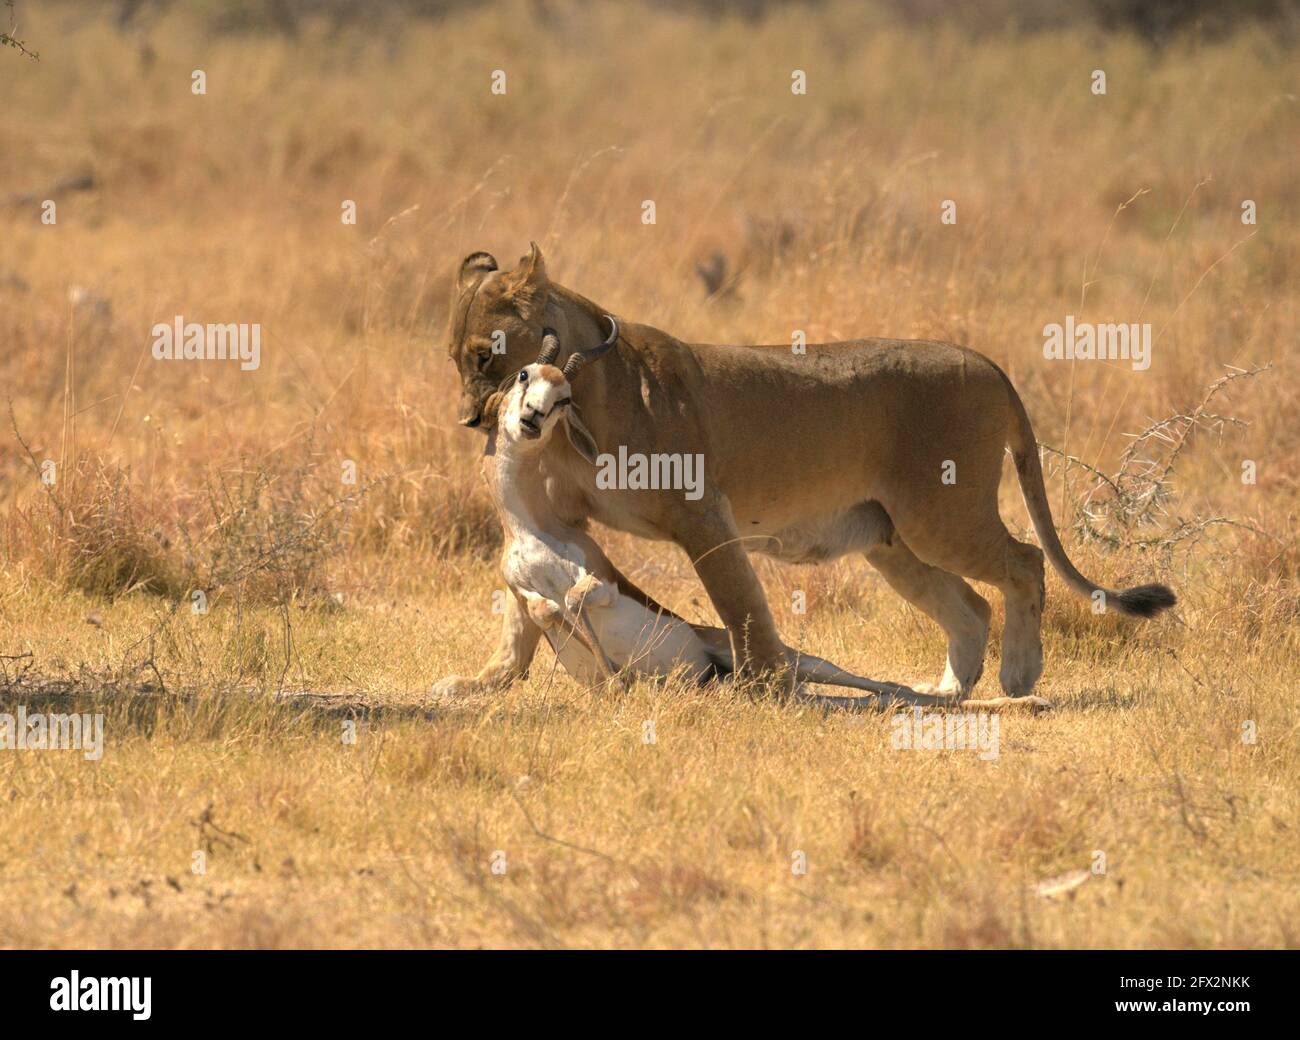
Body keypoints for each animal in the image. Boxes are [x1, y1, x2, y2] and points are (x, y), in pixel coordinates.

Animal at [433, 243, 1174, 701]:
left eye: (485, 358)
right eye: (454, 359)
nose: (469, 421)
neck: (584, 399)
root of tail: (988, 362)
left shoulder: (703, 513)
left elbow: (740, 604)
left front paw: (763, 686)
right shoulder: (561, 517)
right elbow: (524, 608)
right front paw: (478, 680)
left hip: (941, 516)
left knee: (1025, 561)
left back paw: (1019, 673)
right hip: (893, 542)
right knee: (968, 604)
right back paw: (947, 689)